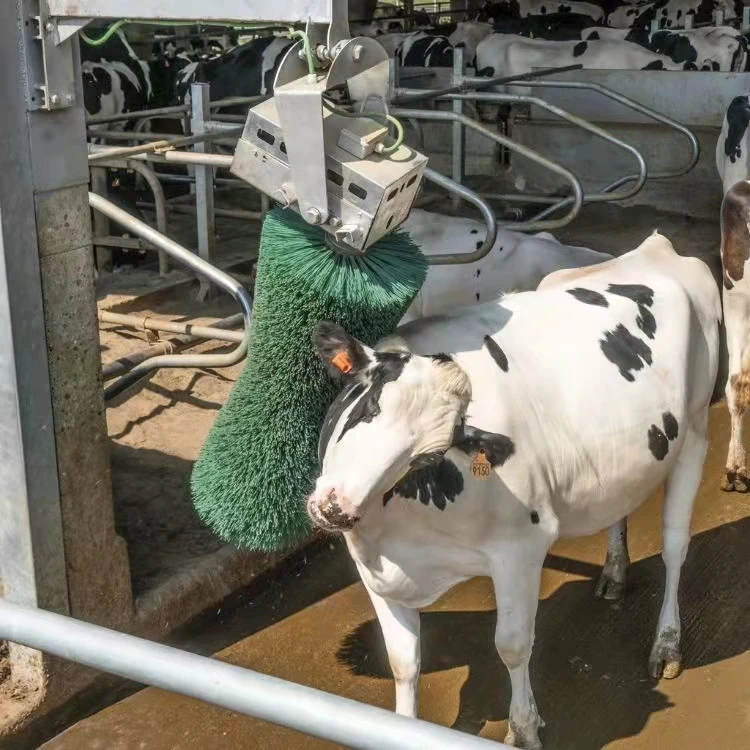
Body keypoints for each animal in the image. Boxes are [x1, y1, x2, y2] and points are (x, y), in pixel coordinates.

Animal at [307, 232, 720, 748]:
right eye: (368, 400)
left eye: (428, 455)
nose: (335, 507)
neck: (395, 534)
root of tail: (655, 246)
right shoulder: (372, 565)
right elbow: (403, 662)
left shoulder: (519, 549)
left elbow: (512, 646)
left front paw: (523, 729)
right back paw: (614, 571)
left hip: (697, 430)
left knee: (675, 548)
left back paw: (667, 643)